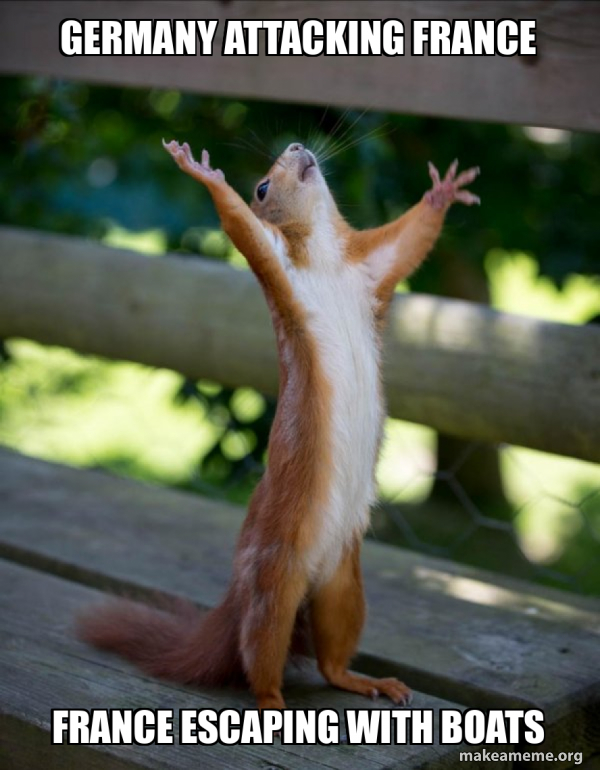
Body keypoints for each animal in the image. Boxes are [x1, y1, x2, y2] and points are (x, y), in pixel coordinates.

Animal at [78, 138, 479, 711]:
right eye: (262, 187)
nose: (296, 146)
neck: (326, 258)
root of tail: (238, 596)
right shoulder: (276, 264)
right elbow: (240, 226)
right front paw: (204, 173)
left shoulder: (372, 267)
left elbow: (410, 240)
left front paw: (442, 192)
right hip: (274, 583)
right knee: (259, 655)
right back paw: (273, 701)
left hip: (344, 586)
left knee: (332, 659)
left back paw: (366, 680)